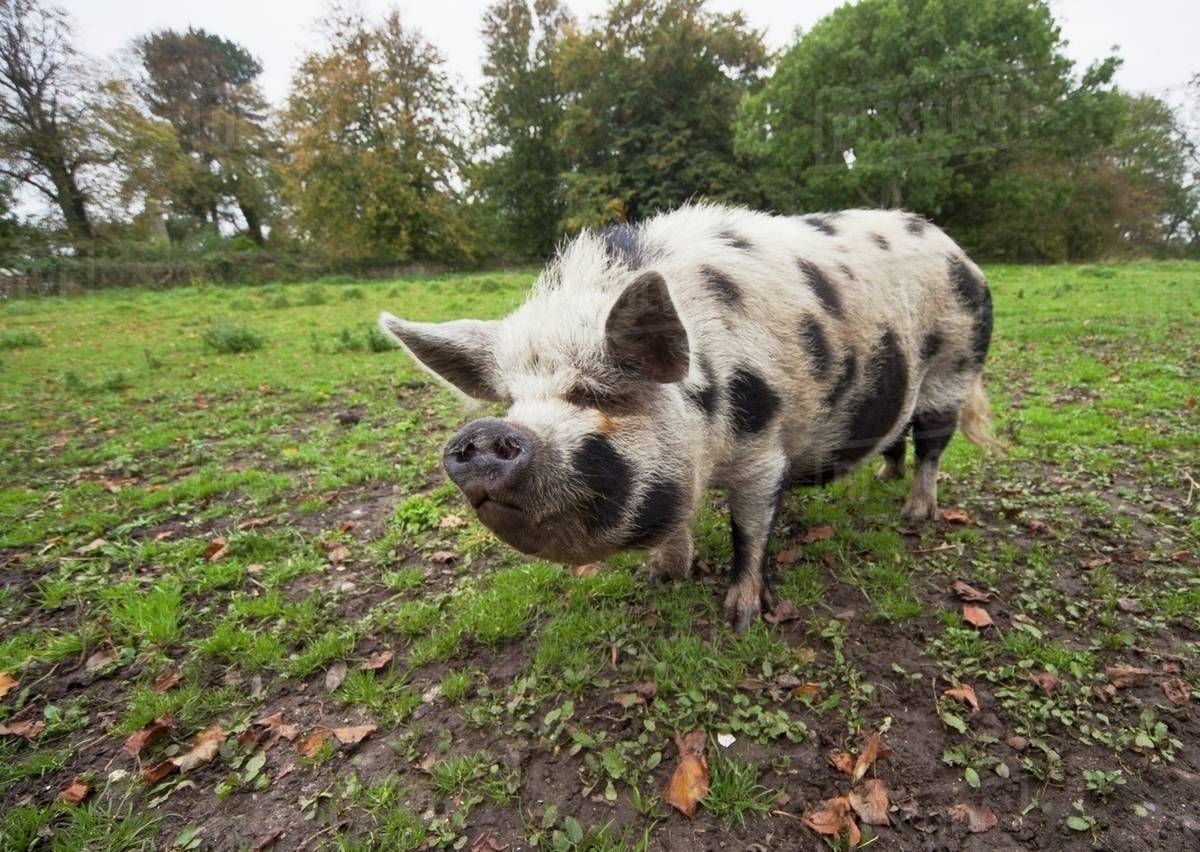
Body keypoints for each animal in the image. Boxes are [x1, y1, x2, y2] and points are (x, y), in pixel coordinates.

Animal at [379, 204, 999, 630]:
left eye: (597, 394)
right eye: (509, 402)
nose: (483, 433)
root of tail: (959, 251)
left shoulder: (764, 448)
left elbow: (751, 529)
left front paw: (740, 618)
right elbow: (677, 525)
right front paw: (658, 575)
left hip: (953, 368)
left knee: (932, 445)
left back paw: (914, 515)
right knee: (896, 436)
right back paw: (885, 478)